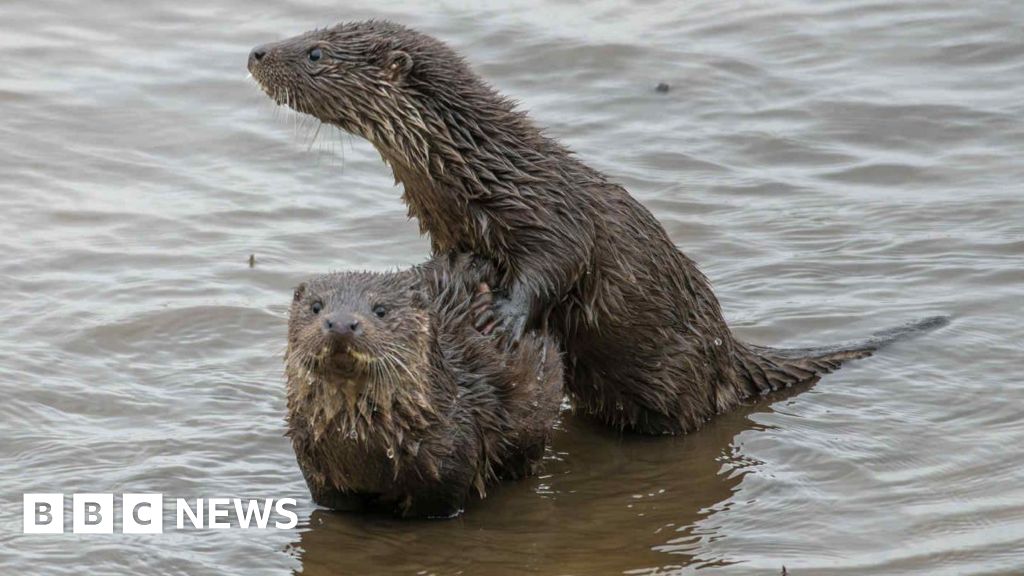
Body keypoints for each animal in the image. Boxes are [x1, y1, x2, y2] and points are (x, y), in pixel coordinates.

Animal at [252, 21, 947, 435]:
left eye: (314, 52)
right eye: (306, 31)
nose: (257, 51)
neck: (479, 174)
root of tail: (729, 347)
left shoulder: (552, 214)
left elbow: (558, 263)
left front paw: (503, 317)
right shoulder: (451, 229)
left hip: (682, 375)